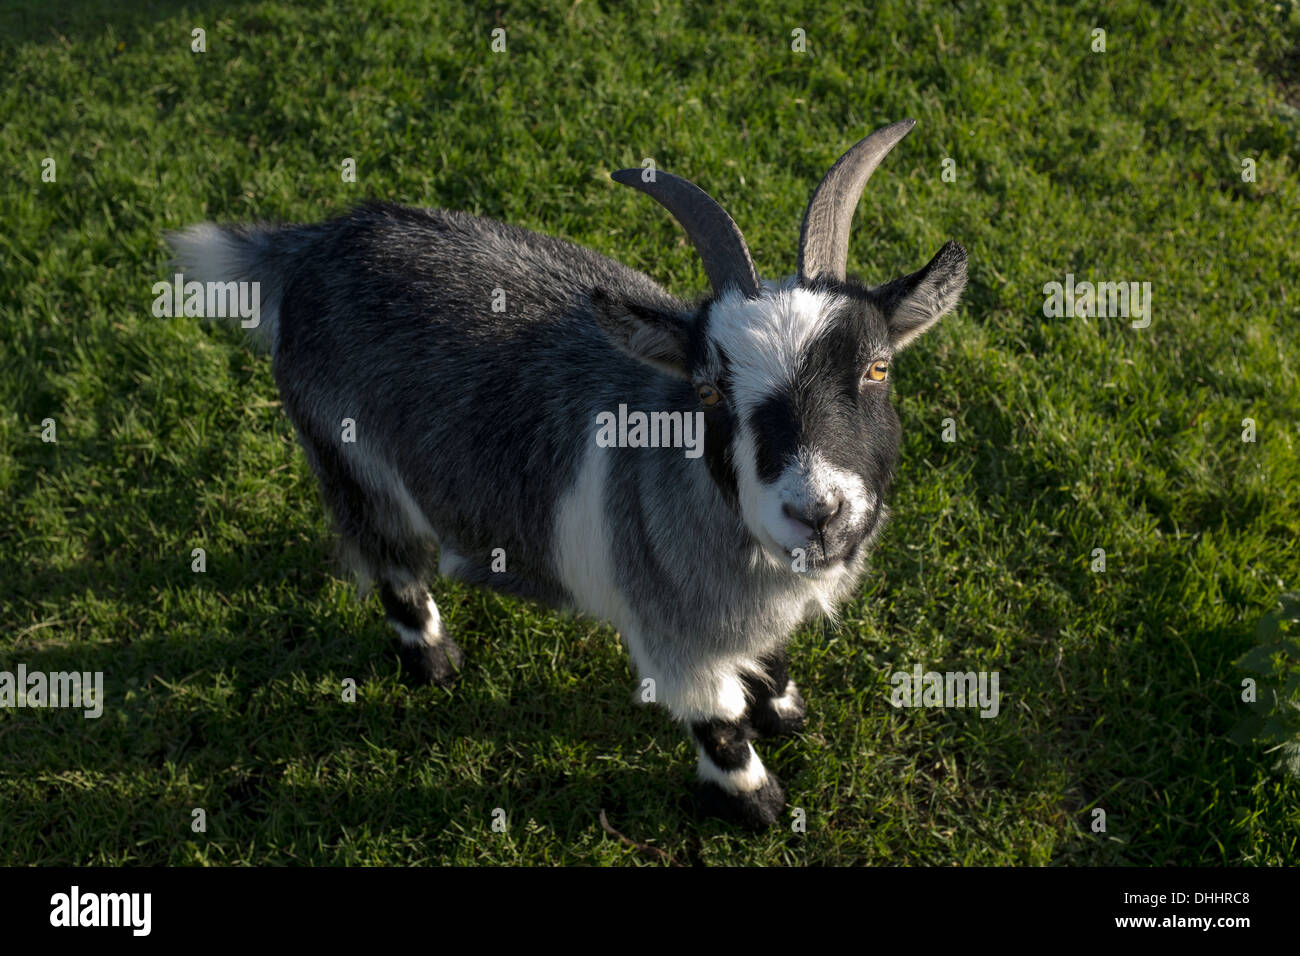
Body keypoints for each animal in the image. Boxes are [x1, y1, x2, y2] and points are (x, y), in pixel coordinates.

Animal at [169, 119, 967, 828]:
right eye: (710, 392)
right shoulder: (672, 635)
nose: (817, 513)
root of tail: (316, 245)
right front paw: (757, 805)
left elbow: (767, 660)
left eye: (877, 368)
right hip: (350, 463)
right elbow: (718, 723)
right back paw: (434, 660)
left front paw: (787, 712)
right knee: (390, 563)